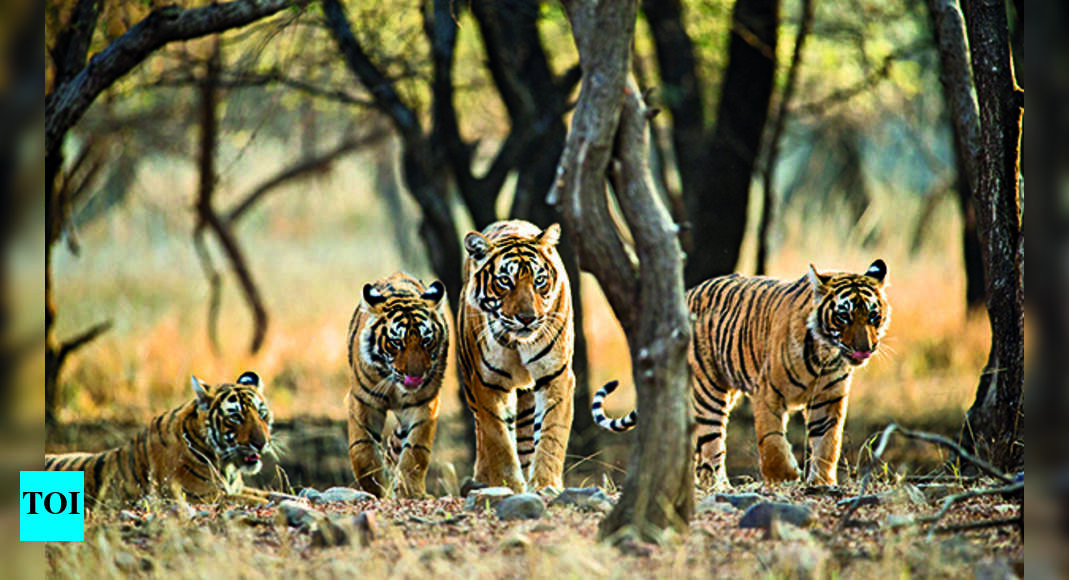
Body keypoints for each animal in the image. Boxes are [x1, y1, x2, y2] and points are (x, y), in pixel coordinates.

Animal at [346, 272, 448, 498]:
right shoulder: (364, 400)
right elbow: (362, 450)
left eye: (426, 341)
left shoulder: (424, 403)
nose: (415, 376)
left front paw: (410, 492)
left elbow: (416, 450)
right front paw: (377, 488)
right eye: (396, 342)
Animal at [458, 220, 575, 493]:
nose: (527, 318)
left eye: (539, 280)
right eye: (504, 281)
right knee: (482, 434)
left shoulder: (556, 375)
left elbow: (551, 433)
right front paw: (508, 485)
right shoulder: (487, 383)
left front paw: (545, 484)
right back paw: (481, 479)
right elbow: (498, 440)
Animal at [592, 260, 890, 486]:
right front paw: (784, 477)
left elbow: (828, 442)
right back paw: (719, 487)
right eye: (843, 316)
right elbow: (771, 440)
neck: (825, 356)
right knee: (711, 447)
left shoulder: (829, 399)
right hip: (708, 392)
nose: (865, 348)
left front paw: (822, 483)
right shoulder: (767, 392)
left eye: (873, 316)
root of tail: (687, 293)